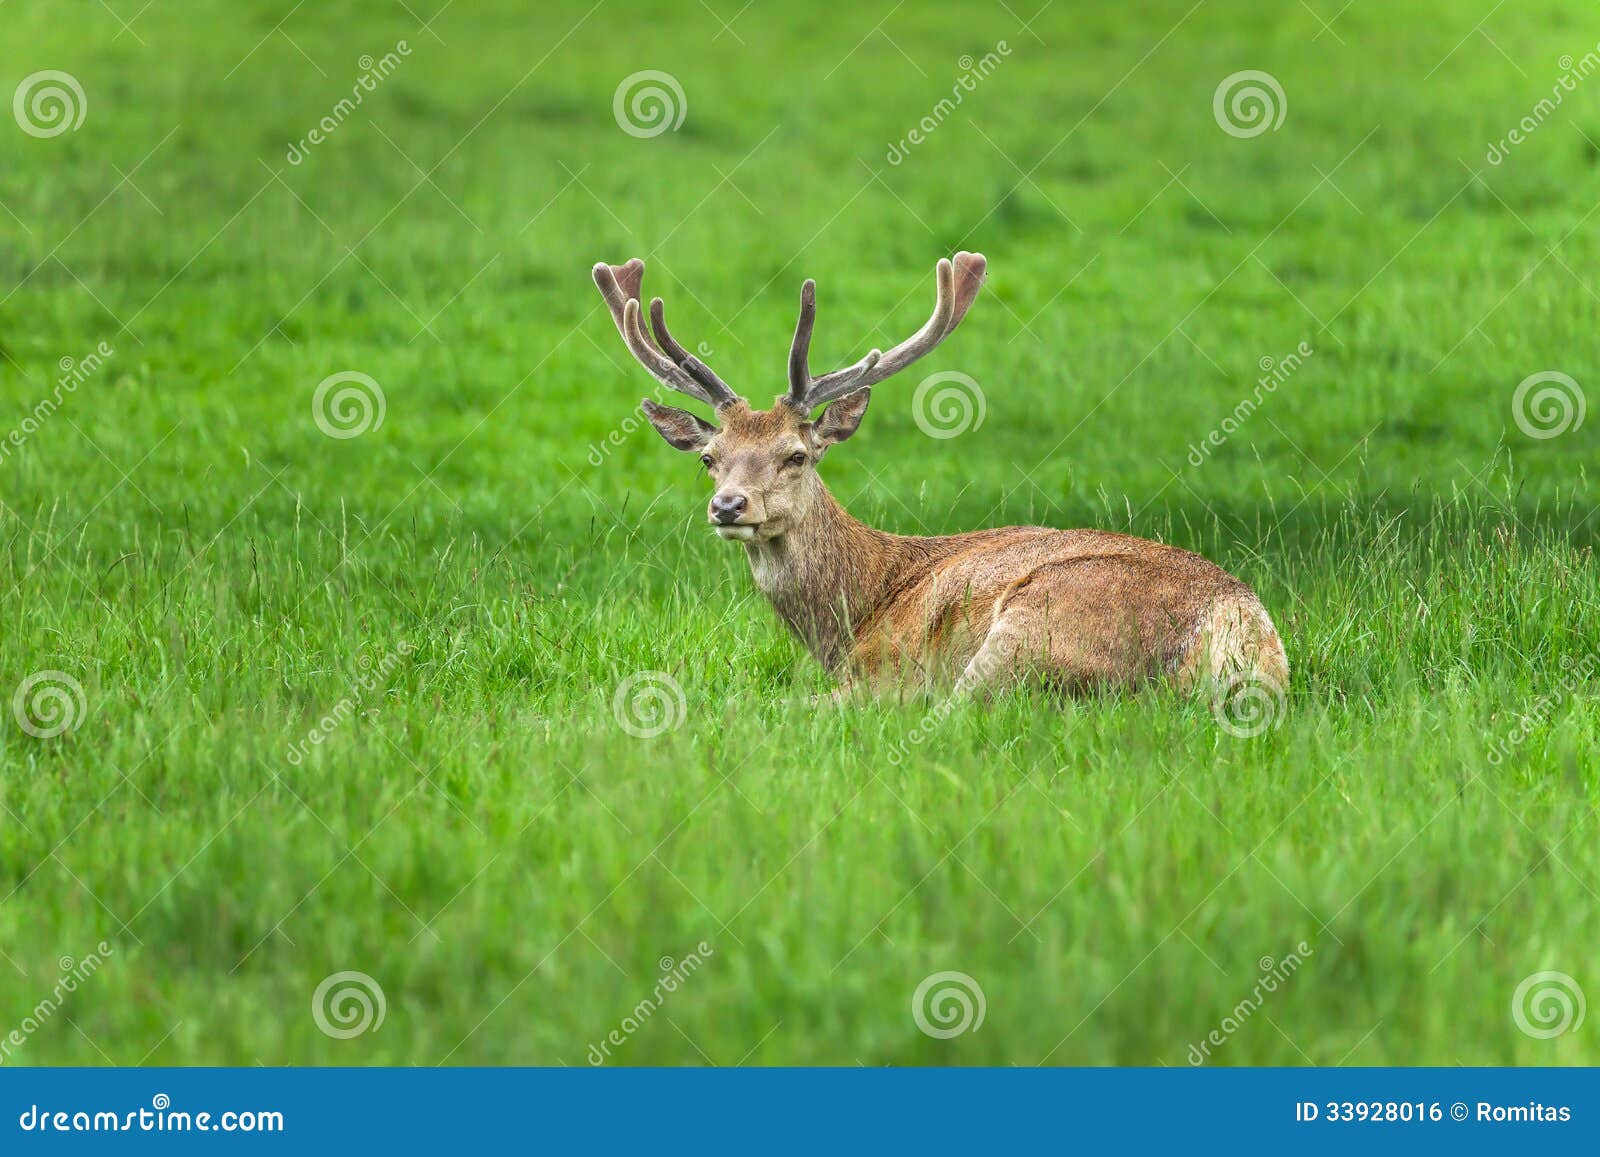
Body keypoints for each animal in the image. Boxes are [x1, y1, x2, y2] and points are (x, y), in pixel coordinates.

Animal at [592, 252, 1288, 706]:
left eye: (796, 455)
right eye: (709, 458)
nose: (729, 506)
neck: (854, 616)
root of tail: (1228, 632)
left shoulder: (881, 675)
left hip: (1030, 634)